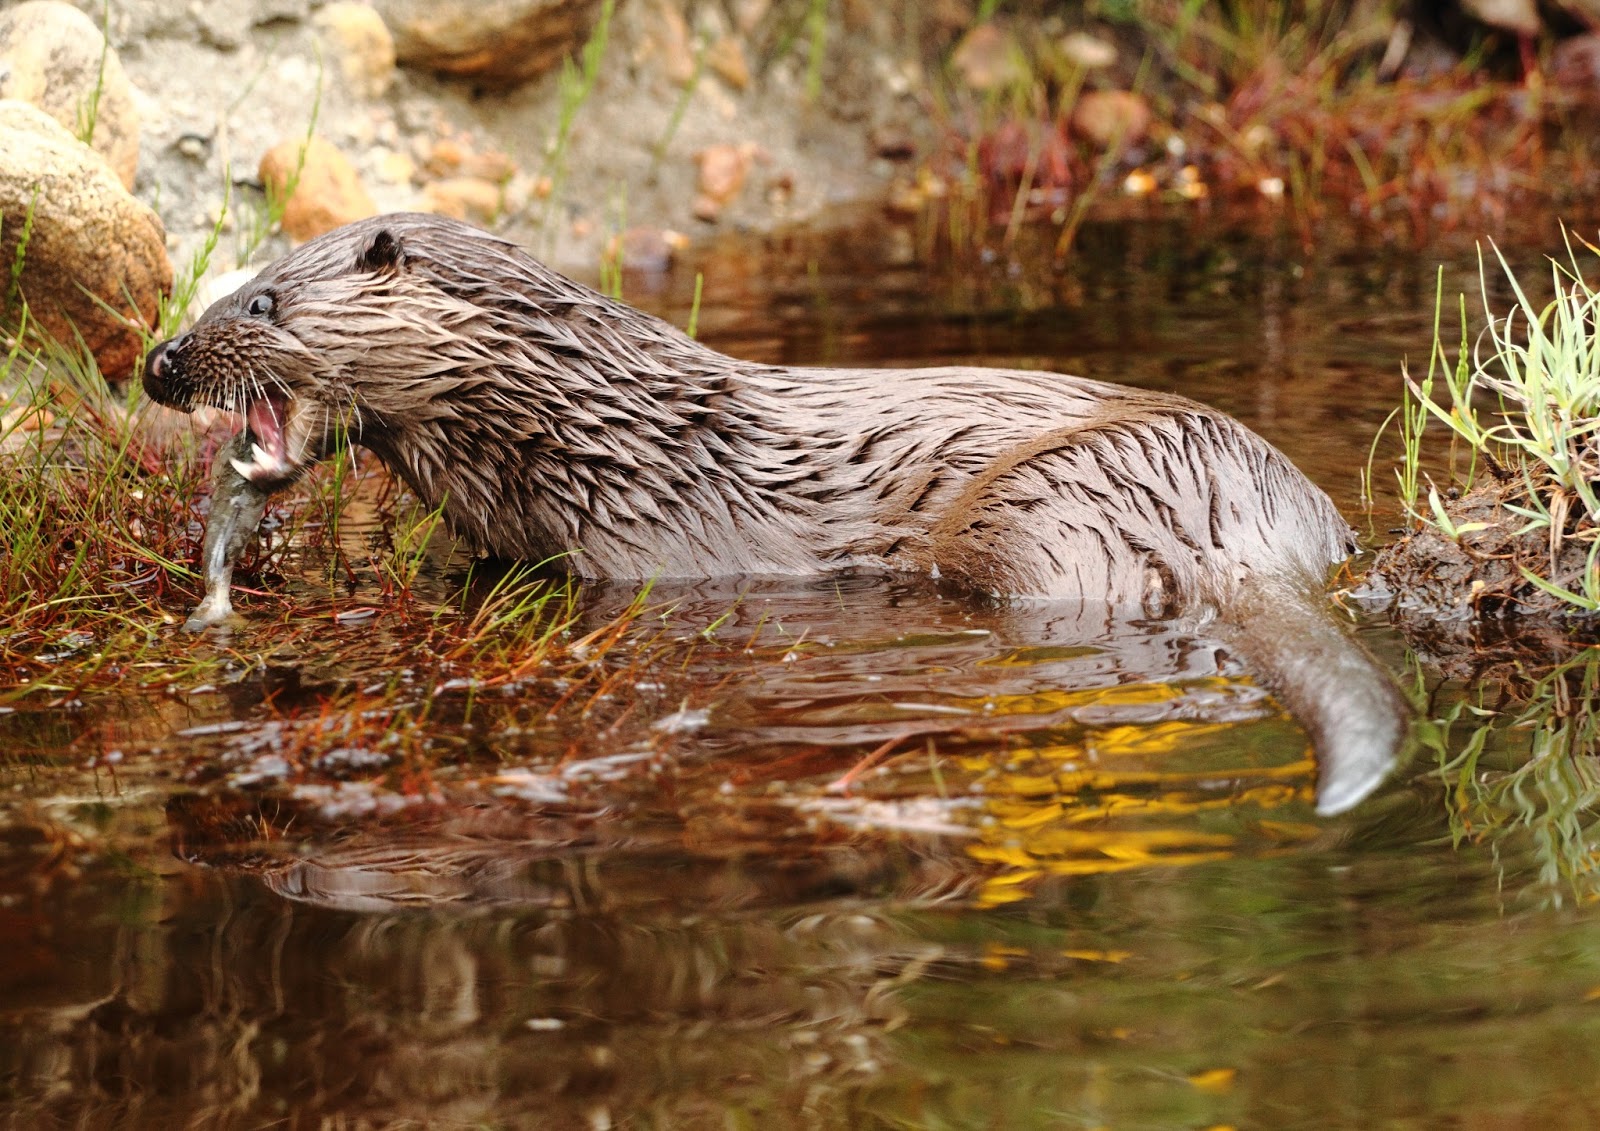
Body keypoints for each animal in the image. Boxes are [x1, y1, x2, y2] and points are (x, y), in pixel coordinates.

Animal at [143, 212, 1409, 815]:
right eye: (228, 287)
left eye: (260, 302)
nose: (160, 362)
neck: (604, 436)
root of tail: (1252, 512)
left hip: (1047, 511)